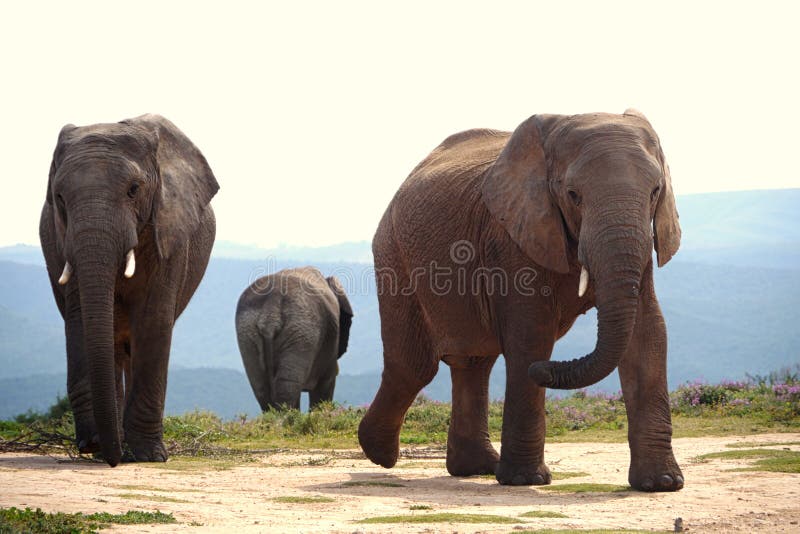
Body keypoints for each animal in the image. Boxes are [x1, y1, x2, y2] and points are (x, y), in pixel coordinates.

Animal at [39, 114, 219, 466]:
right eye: (59, 197)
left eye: (134, 190)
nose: (112, 459)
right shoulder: (62, 239)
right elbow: (80, 318)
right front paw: (95, 444)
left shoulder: (169, 231)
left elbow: (152, 320)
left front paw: (150, 456)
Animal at [236, 267, 354, 411]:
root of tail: (272, 306)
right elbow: (326, 383)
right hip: (303, 330)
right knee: (288, 387)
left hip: (248, 333)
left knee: (261, 388)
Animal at [358, 109, 684, 492]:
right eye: (573, 195)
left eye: (655, 191)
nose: (544, 371)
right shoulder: (513, 236)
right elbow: (531, 335)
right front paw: (525, 480)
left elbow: (648, 331)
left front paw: (662, 483)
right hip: (393, 253)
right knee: (414, 366)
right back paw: (379, 453)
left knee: (473, 362)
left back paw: (474, 468)